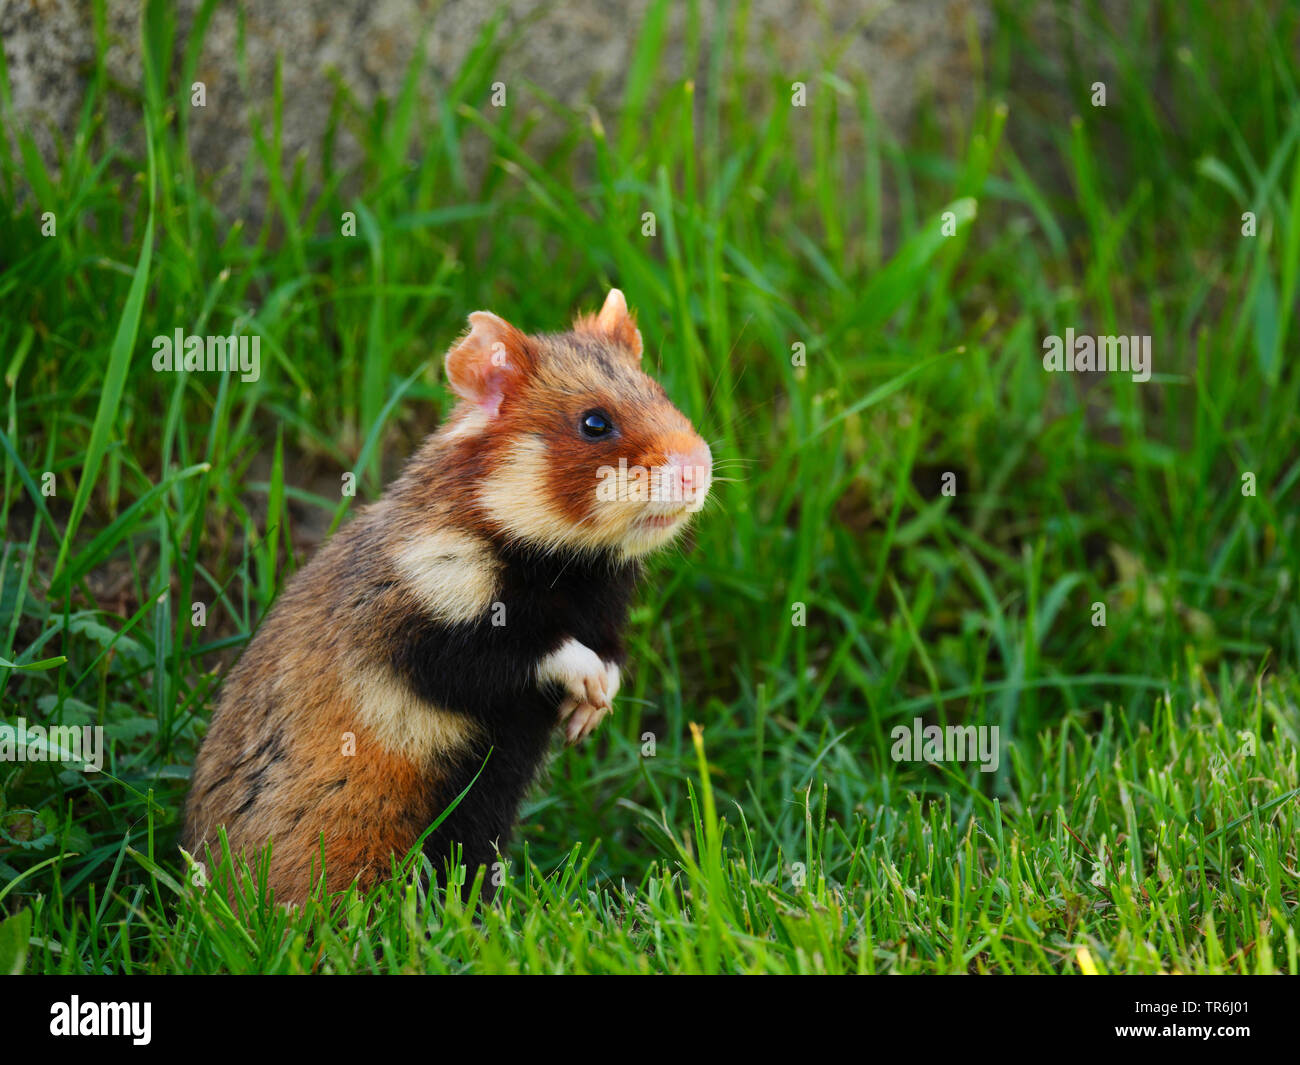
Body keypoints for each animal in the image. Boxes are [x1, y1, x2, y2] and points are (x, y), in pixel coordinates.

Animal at [183, 290, 713, 904]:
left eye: (661, 393)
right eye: (594, 423)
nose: (699, 470)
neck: (566, 567)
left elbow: (608, 657)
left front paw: (589, 715)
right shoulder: (425, 629)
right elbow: (539, 649)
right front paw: (588, 690)